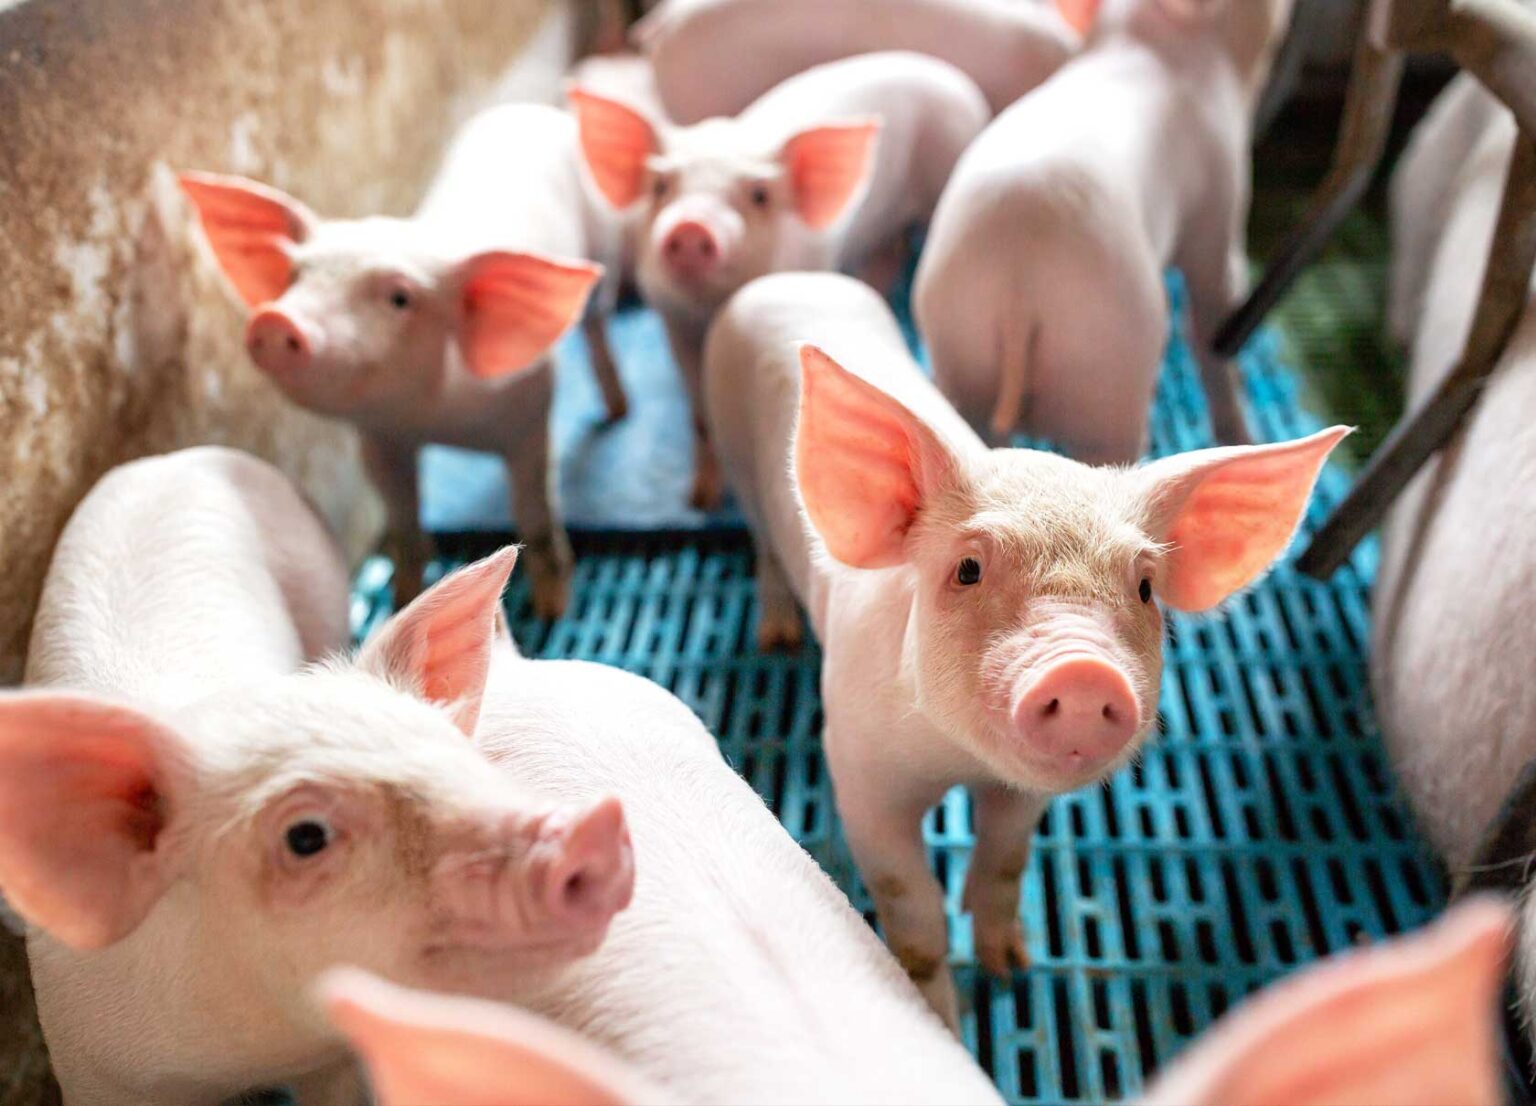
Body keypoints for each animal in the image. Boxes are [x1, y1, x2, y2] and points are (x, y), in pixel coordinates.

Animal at [0, 448, 633, 1106]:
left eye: (460, 755)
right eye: (305, 836)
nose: (595, 827)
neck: (240, 1058)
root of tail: (182, 456)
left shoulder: (332, 1061)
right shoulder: (91, 1068)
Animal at [180, 100, 621, 618]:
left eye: (399, 298)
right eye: (294, 275)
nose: (274, 319)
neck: (434, 420)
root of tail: (532, 109)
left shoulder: (531, 416)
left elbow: (535, 516)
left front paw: (553, 611)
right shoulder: (381, 439)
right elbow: (405, 529)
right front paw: (401, 601)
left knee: (598, 325)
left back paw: (617, 412)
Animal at [569, 51, 990, 508]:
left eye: (759, 195)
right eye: (662, 185)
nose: (692, 226)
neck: (709, 309)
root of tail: (948, 75)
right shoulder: (673, 320)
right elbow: (700, 415)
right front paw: (699, 499)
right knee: (886, 258)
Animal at [704, 272, 1347, 1027]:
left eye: (1145, 587)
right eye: (967, 569)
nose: (1086, 670)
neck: (959, 762)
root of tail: (788, 278)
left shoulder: (1023, 795)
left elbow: (1005, 861)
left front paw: (1011, 965)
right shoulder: (859, 770)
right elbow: (913, 915)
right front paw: (942, 1019)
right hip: (737, 462)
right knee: (763, 547)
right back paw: (775, 637)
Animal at [914, 0, 1296, 463]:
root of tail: (1017, 293)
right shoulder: (1220, 198)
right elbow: (1214, 314)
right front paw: (1244, 434)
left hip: (962, 348)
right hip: (1106, 372)